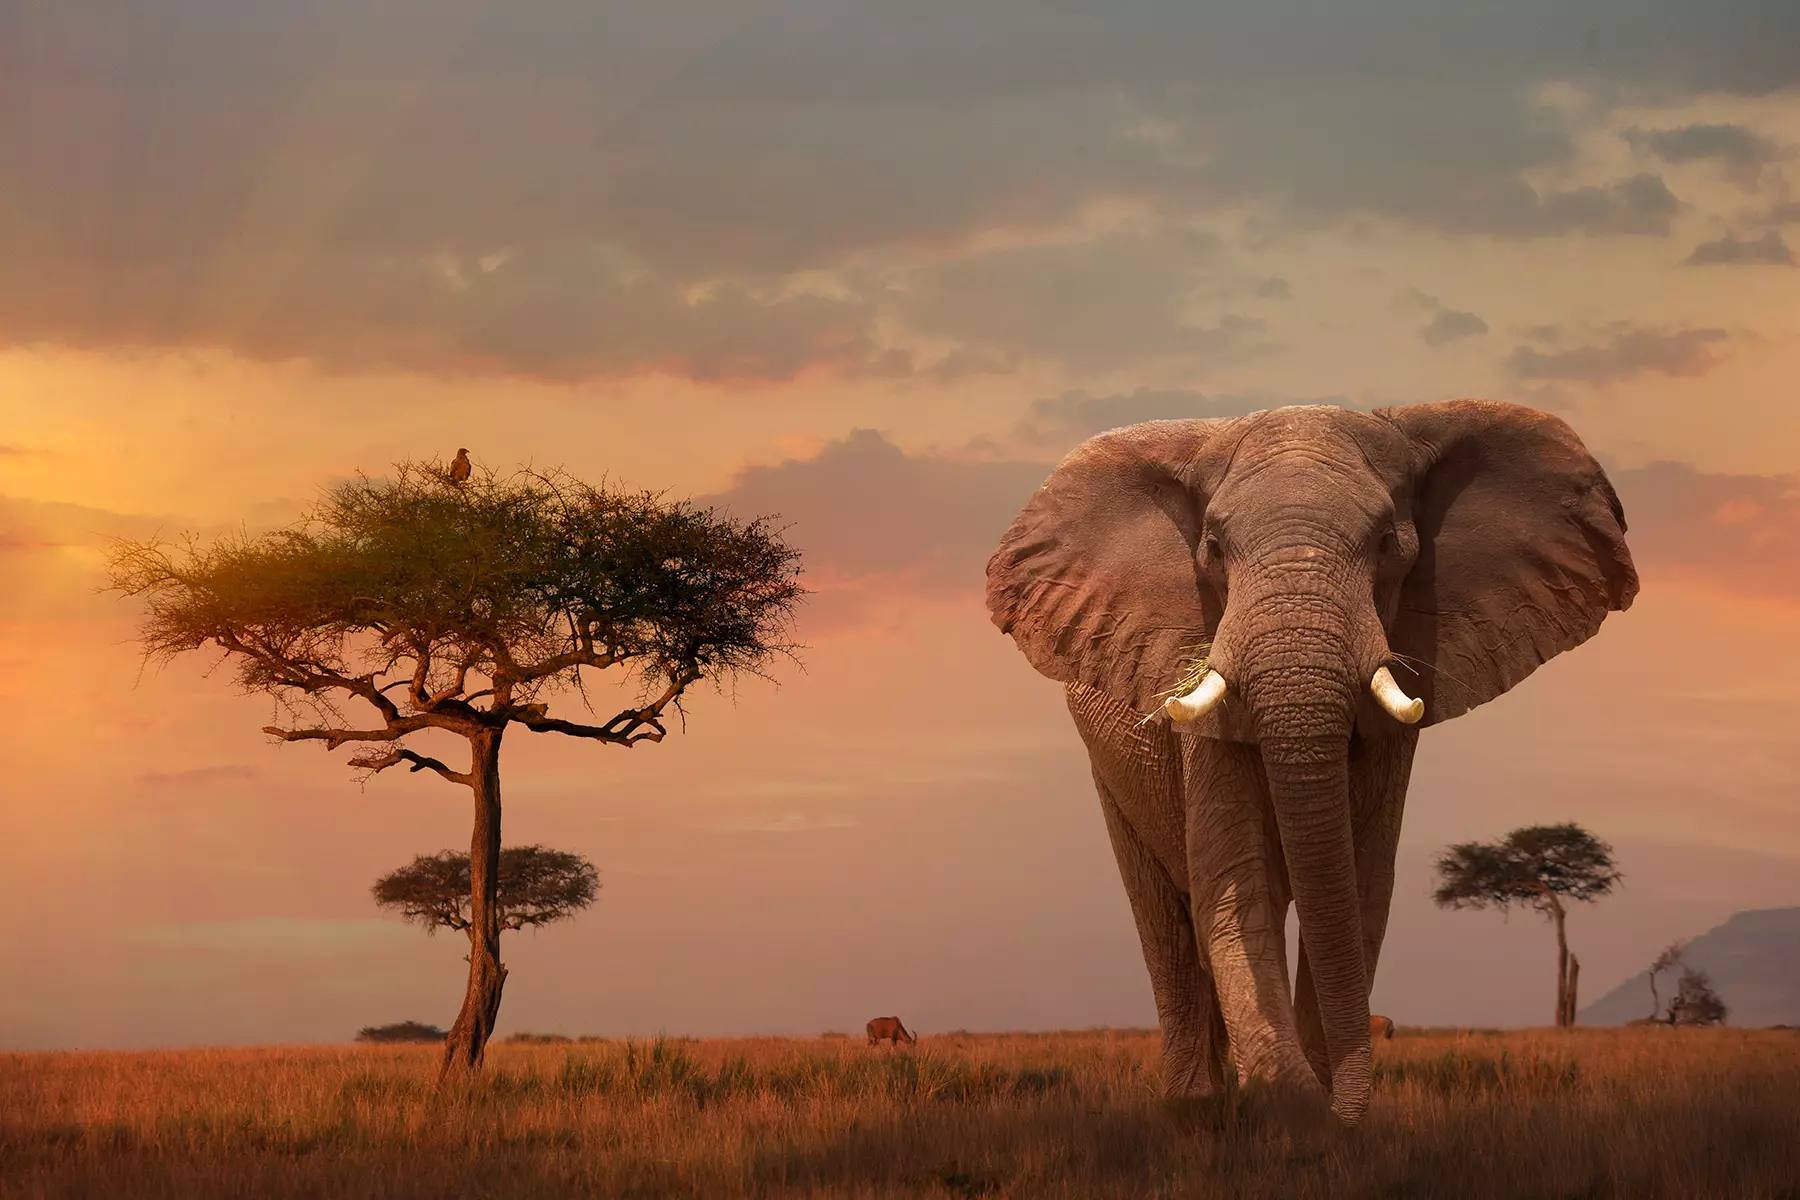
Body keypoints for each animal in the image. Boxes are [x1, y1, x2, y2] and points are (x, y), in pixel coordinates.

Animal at [993, 402, 1641, 1129]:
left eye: (1387, 543)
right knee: (1165, 917)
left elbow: (1359, 886)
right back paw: (1196, 1106)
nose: (1344, 1113)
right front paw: (1290, 1104)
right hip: (1107, 764)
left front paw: (1318, 1113)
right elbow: (1235, 883)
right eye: (1213, 548)